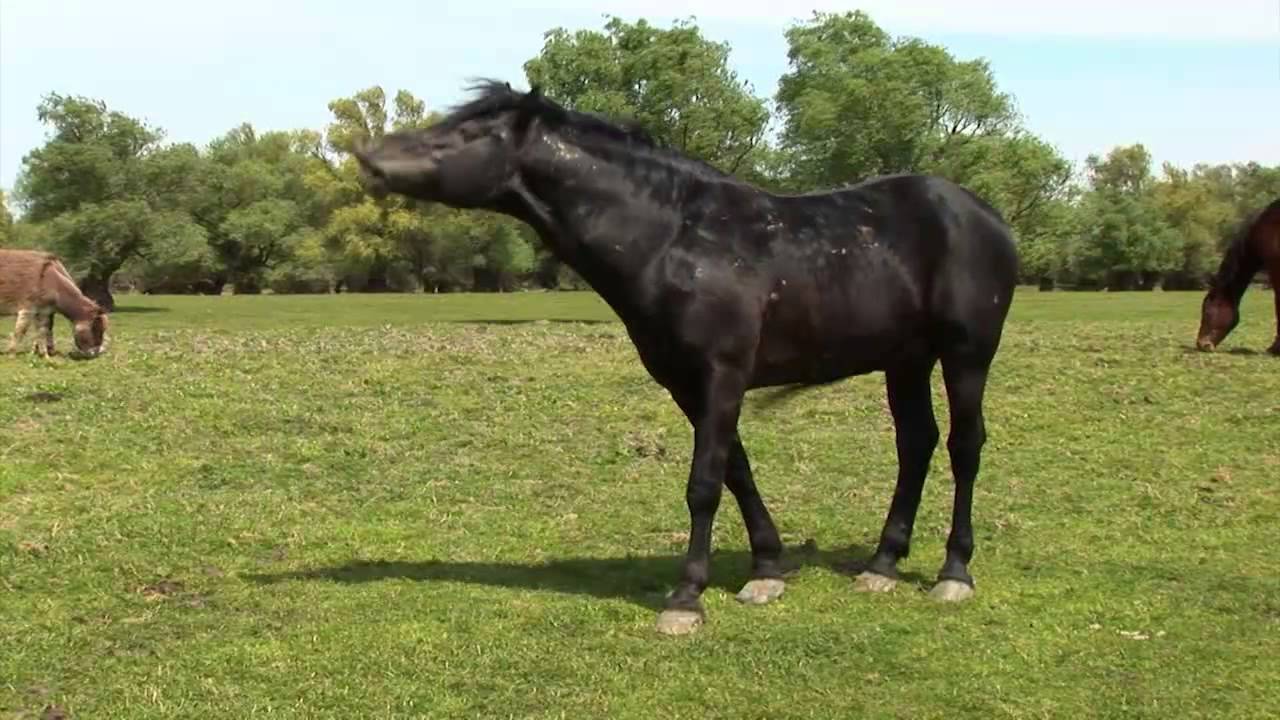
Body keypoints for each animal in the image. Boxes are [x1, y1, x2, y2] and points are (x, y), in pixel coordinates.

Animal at [352, 81, 1019, 635]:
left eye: (467, 134)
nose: (369, 158)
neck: (674, 238)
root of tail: (984, 214)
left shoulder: (722, 374)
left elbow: (704, 484)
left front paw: (686, 599)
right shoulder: (687, 383)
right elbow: (735, 471)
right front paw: (766, 570)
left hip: (966, 354)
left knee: (963, 447)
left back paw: (953, 573)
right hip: (904, 360)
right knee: (916, 444)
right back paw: (881, 564)